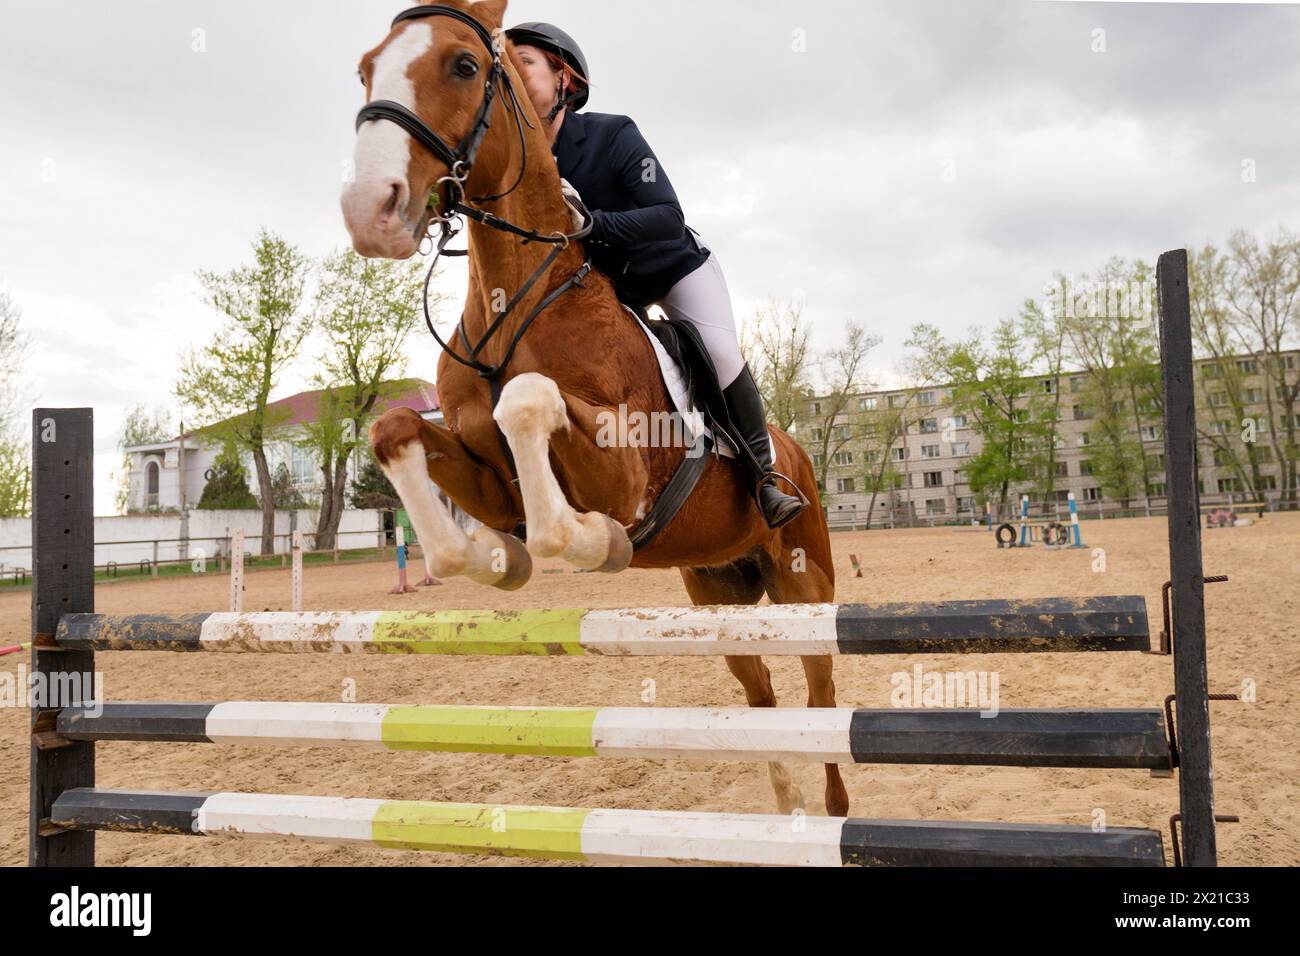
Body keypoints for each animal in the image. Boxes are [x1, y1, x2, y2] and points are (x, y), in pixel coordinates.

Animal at [340, 0, 846, 817]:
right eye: (365, 70)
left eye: (463, 66)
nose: (369, 210)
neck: (515, 301)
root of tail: (795, 451)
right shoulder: (488, 476)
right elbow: (396, 430)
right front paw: (484, 556)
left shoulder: (620, 473)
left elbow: (528, 401)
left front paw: (583, 541)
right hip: (719, 594)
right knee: (761, 695)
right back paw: (788, 806)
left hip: (803, 582)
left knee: (821, 692)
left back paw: (831, 809)